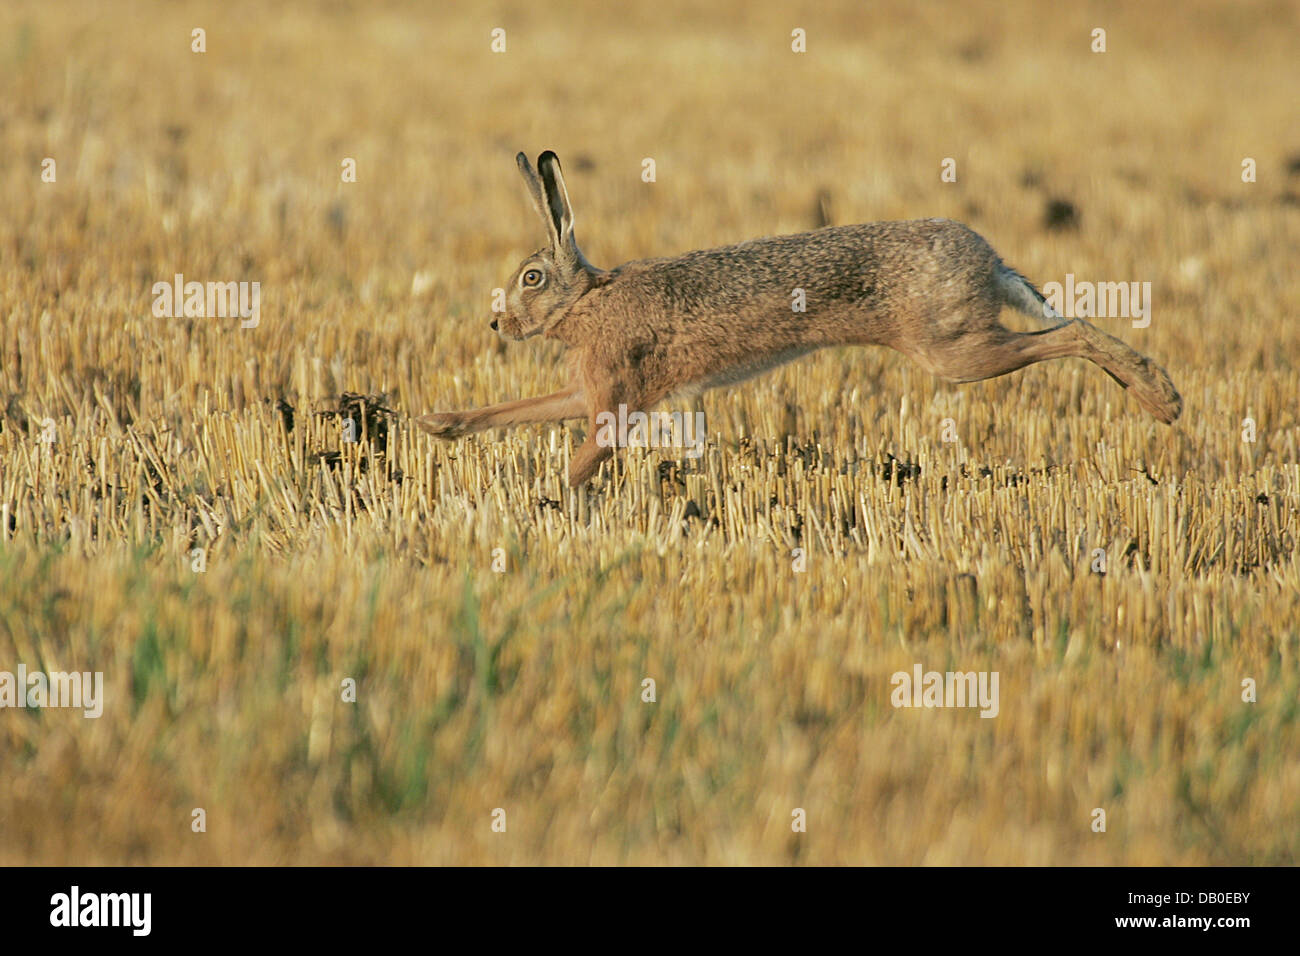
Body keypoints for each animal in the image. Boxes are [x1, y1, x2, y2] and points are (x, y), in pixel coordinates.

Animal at [417, 151, 1182, 487]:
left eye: (531, 278)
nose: (498, 327)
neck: (587, 300)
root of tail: (989, 258)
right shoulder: (588, 390)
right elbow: (516, 410)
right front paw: (439, 425)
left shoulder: (616, 399)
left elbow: (582, 458)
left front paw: (546, 502)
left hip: (954, 351)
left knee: (1070, 332)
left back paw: (1161, 398)